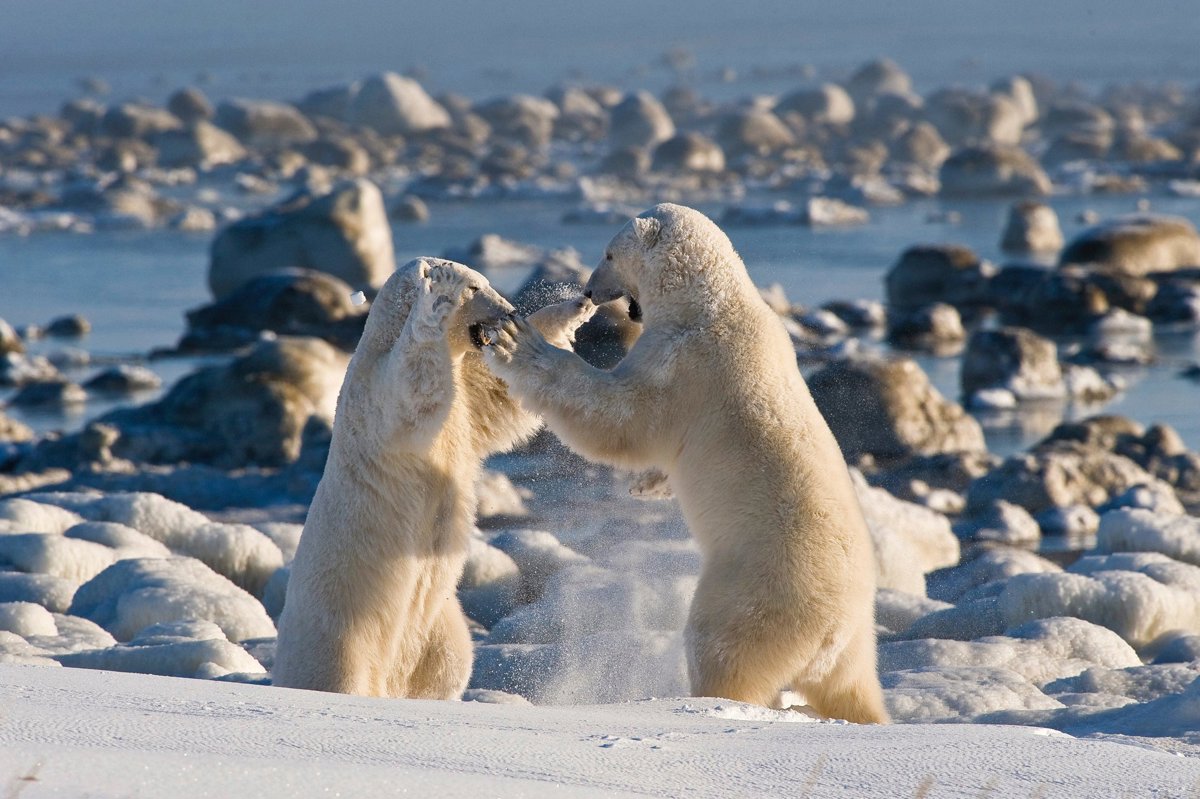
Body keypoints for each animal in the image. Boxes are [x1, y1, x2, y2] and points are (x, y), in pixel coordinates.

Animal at [272, 257, 594, 698]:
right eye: (476, 287)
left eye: (487, 284)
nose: (508, 310)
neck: (376, 344)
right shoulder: (375, 395)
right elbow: (413, 387)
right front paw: (437, 298)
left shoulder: (465, 409)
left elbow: (496, 394)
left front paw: (573, 308)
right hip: (342, 628)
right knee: (339, 673)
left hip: (437, 626)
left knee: (448, 661)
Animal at [482, 204, 889, 723]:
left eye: (608, 254)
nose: (589, 291)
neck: (710, 303)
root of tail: (833, 629)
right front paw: (647, 485)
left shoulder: (683, 361)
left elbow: (620, 415)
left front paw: (519, 341)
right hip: (854, 643)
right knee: (852, 688)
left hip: (755, 593)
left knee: (723, 650)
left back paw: (711, 700)